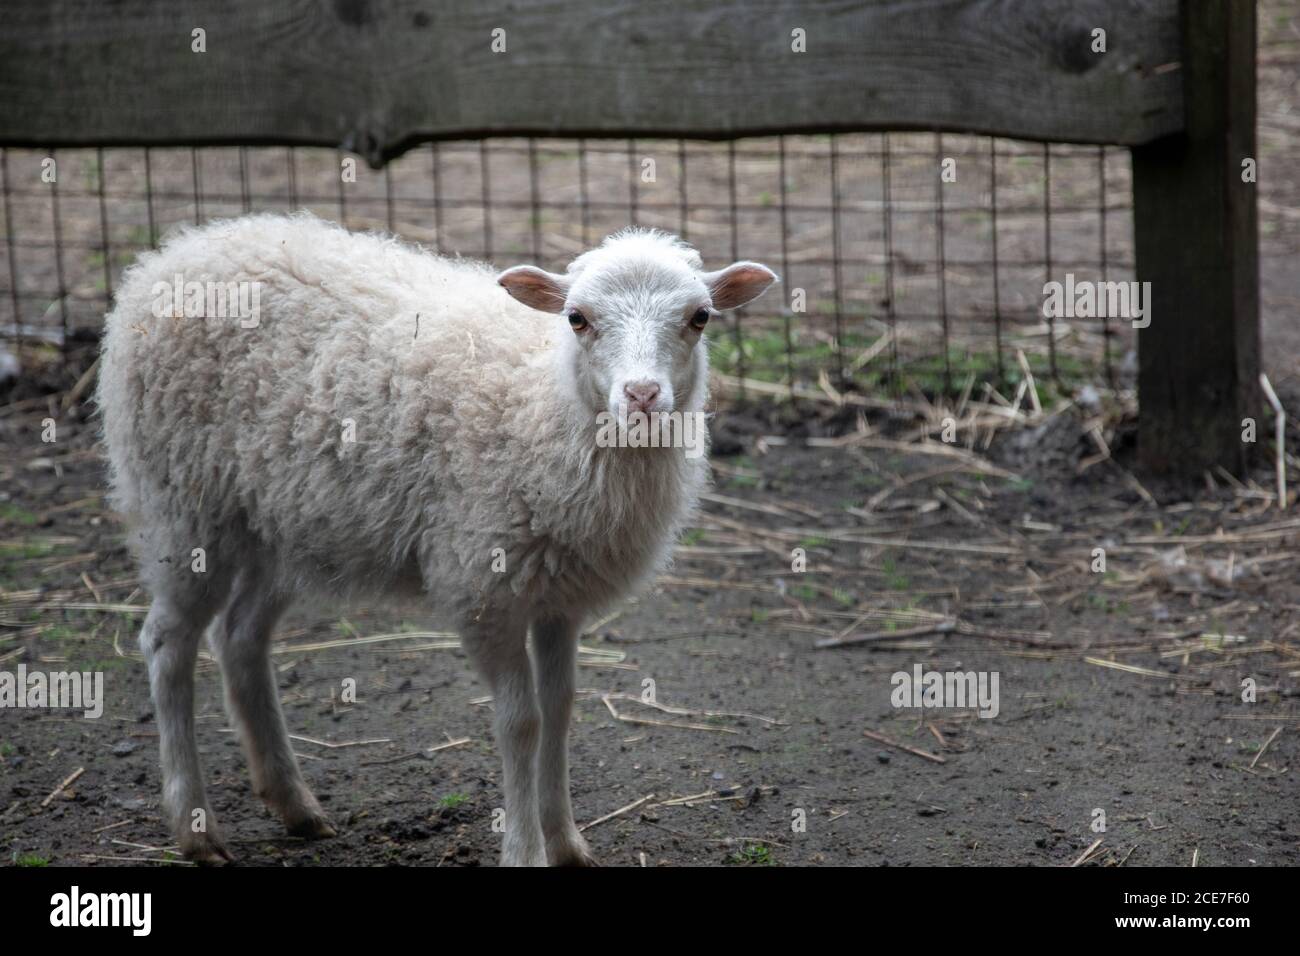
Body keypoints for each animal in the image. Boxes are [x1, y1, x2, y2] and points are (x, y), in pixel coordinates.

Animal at [95, 212, 778, 866]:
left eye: (699, 317)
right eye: (577, 319)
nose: (642, 397)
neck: (542, 401)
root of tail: (174, 252)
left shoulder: (559, 594)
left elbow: (560, 709)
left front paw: (566, 842)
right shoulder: (483, 585)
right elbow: (521, 722)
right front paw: (524, 851)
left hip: (279, 522)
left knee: (239, 636)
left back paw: (294, 804)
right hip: (183, 505)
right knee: (168, 643)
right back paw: (194, 827)